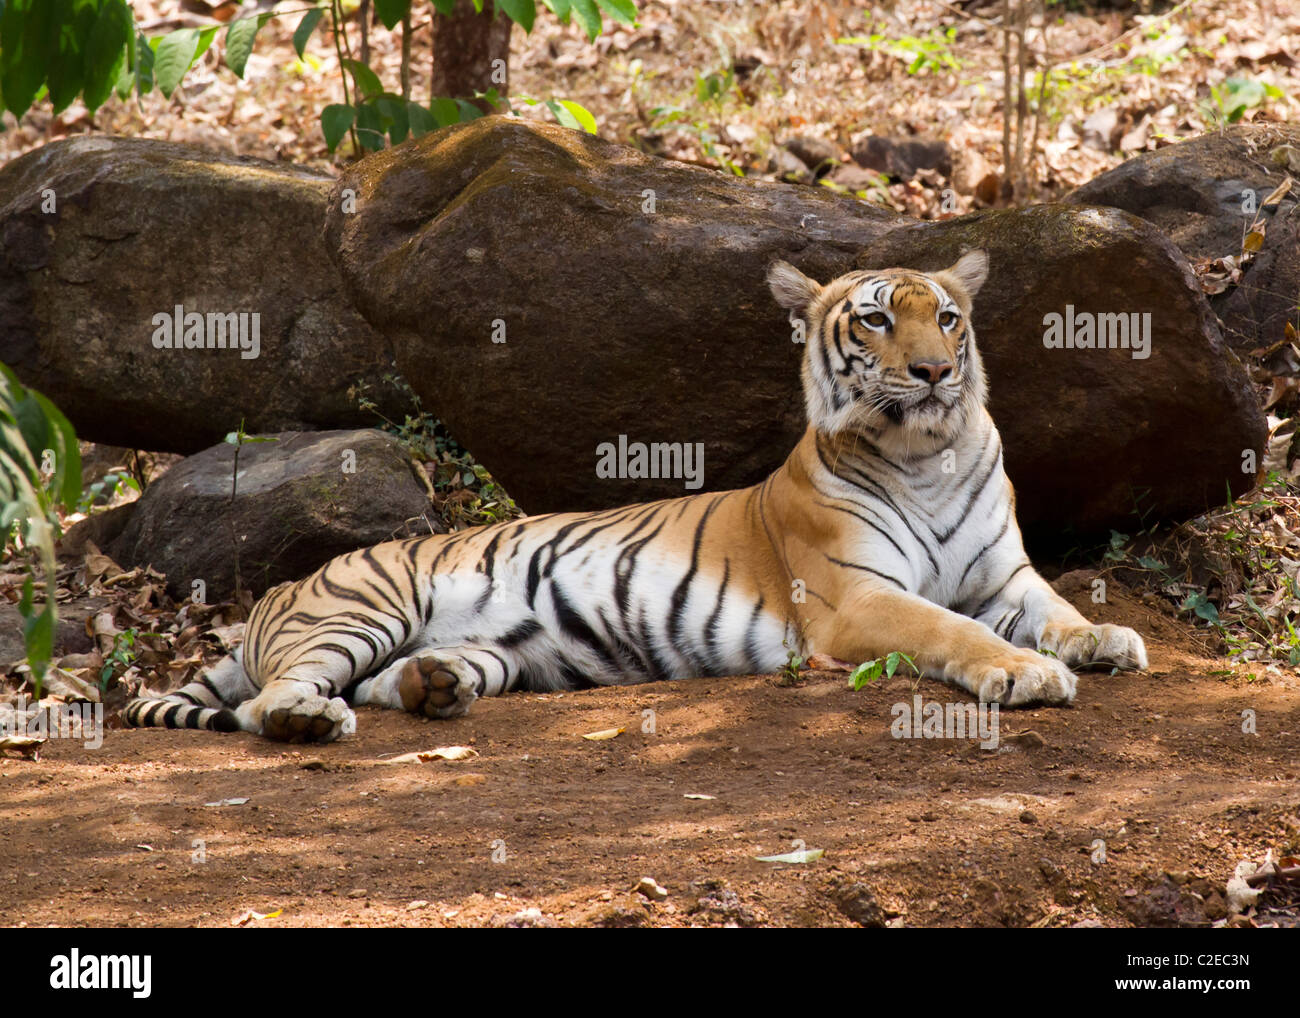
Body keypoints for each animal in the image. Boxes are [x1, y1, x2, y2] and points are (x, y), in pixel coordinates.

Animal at [125, 249, 1147, 743]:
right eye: (873, 321)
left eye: (946, 317)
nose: (935, 371)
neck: (928, 456)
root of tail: (276, 597)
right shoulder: (857, 598)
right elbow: (951, 629)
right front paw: (1023, 674)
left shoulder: (1005, 576)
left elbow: (1054, 609)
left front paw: (1104, 639)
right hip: (362, 606)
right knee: (273, 700)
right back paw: (306, 719)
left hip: (502, 655)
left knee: (389, 684)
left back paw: (432, 687)